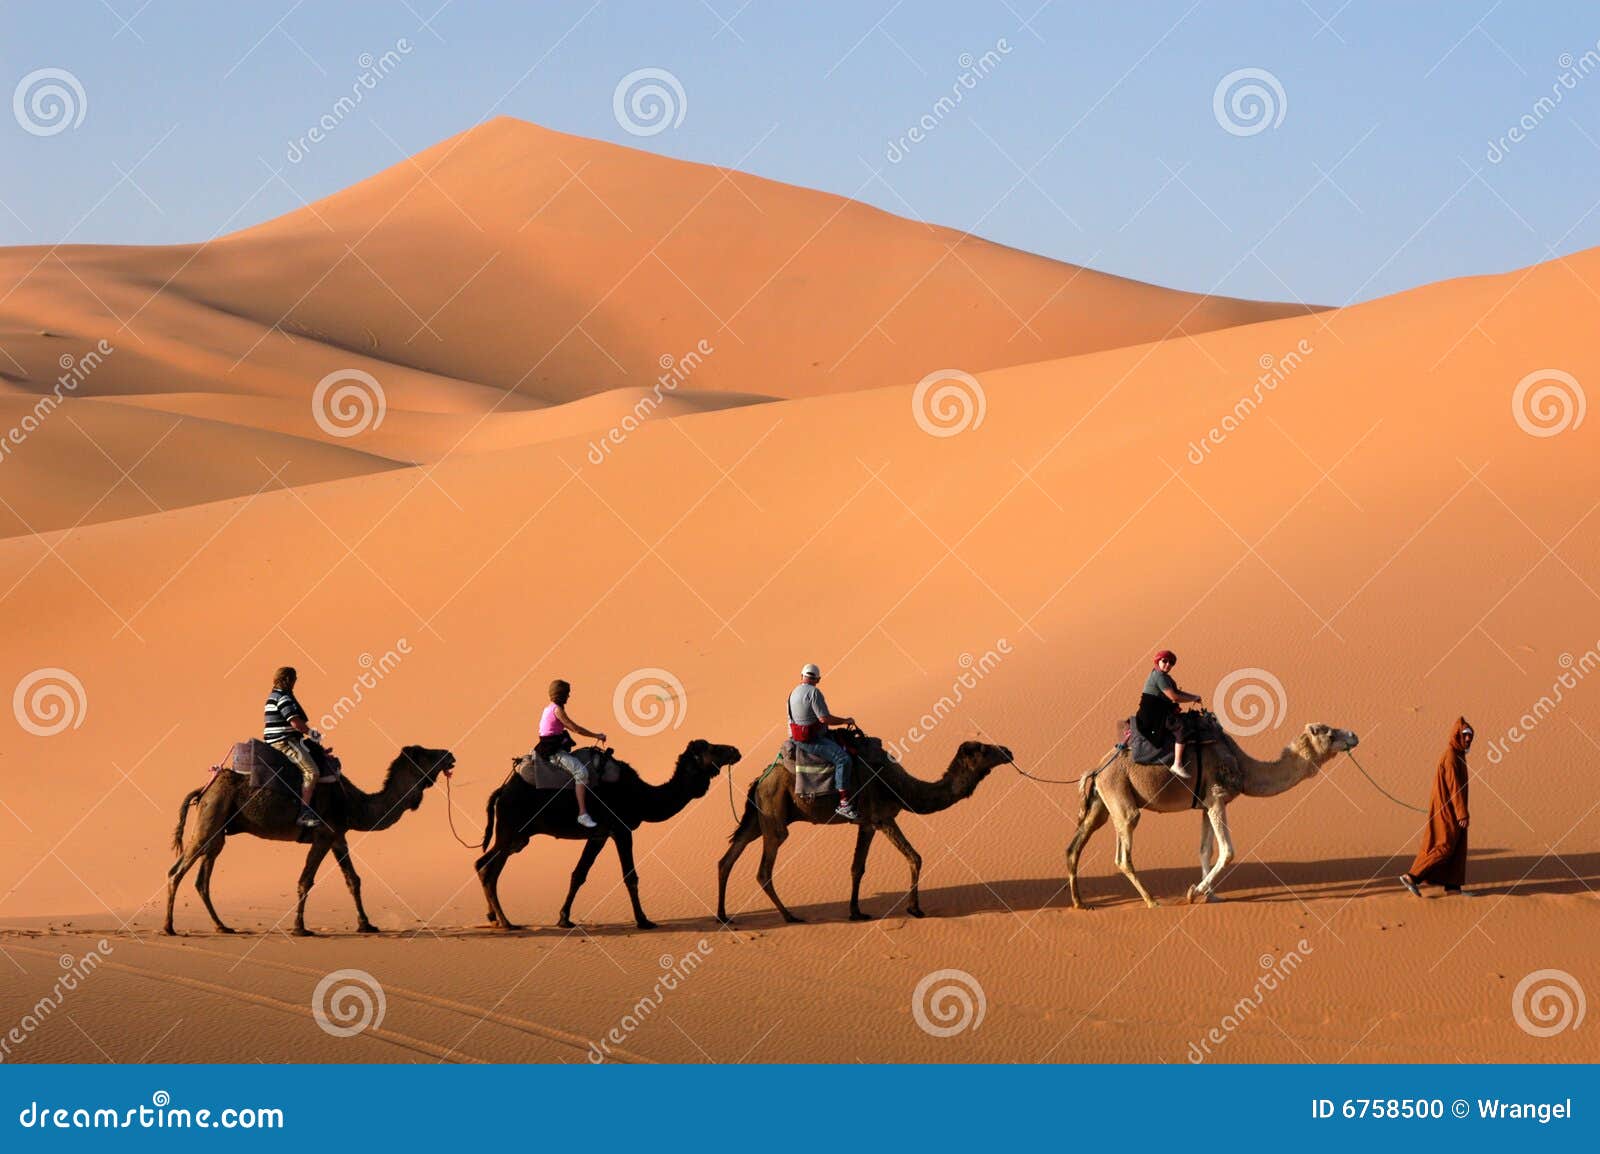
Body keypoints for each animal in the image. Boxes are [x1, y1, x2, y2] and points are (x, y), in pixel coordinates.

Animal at [166, 742, 454, 934]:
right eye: (428, 754)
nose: (449, 754)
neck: (352, 803)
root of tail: (204, 789)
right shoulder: (323, 835)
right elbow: (306, 880)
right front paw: (300, 927)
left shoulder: (338, 837)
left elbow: (353, 880)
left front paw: (366, 924)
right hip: (210, 819)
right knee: (176, 872)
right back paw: (169, 928)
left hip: (218, 830)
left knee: (202, 880)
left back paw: (223, 926)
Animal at [470, 733, 739, 934]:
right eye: (712, 748)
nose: (735, 750)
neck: (642, 797)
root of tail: (501, 792)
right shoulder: (622, 829)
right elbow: (630, 876)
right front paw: (644, 920)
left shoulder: (599, 835)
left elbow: (579, 874)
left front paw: (564, 918)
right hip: (511, 830)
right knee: (486, 867)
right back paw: (506, 922)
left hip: (518, 838)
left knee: (487, 866)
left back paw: (495, 917)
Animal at [716, 733, 1004, 921]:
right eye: (983, 749)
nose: (1007, 750)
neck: (900, 786)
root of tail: (759, 780)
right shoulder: (880, 819)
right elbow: (909, 858)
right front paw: (912, 909)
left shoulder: (872, 822)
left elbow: (863, 866)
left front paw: (858, 911)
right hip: (774, 814)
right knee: (764, 870)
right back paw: (789, 916)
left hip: (758, 819)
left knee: (727, 859)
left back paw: (723, 915)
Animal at [1068, 720, 1356, 909]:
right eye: (1329, 733)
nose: (1353, 735)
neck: (1244, 768)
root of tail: (1097, 769)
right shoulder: (1217, 798)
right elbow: (1227, 851)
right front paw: (1193, 892)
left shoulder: (1206, 805)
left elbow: (1205, 850)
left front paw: (1212, 895)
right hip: (1120, 797)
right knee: (1123, 853)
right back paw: (1152, 901)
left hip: (1103, 803)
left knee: (1076, 847)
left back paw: (1080, 903)